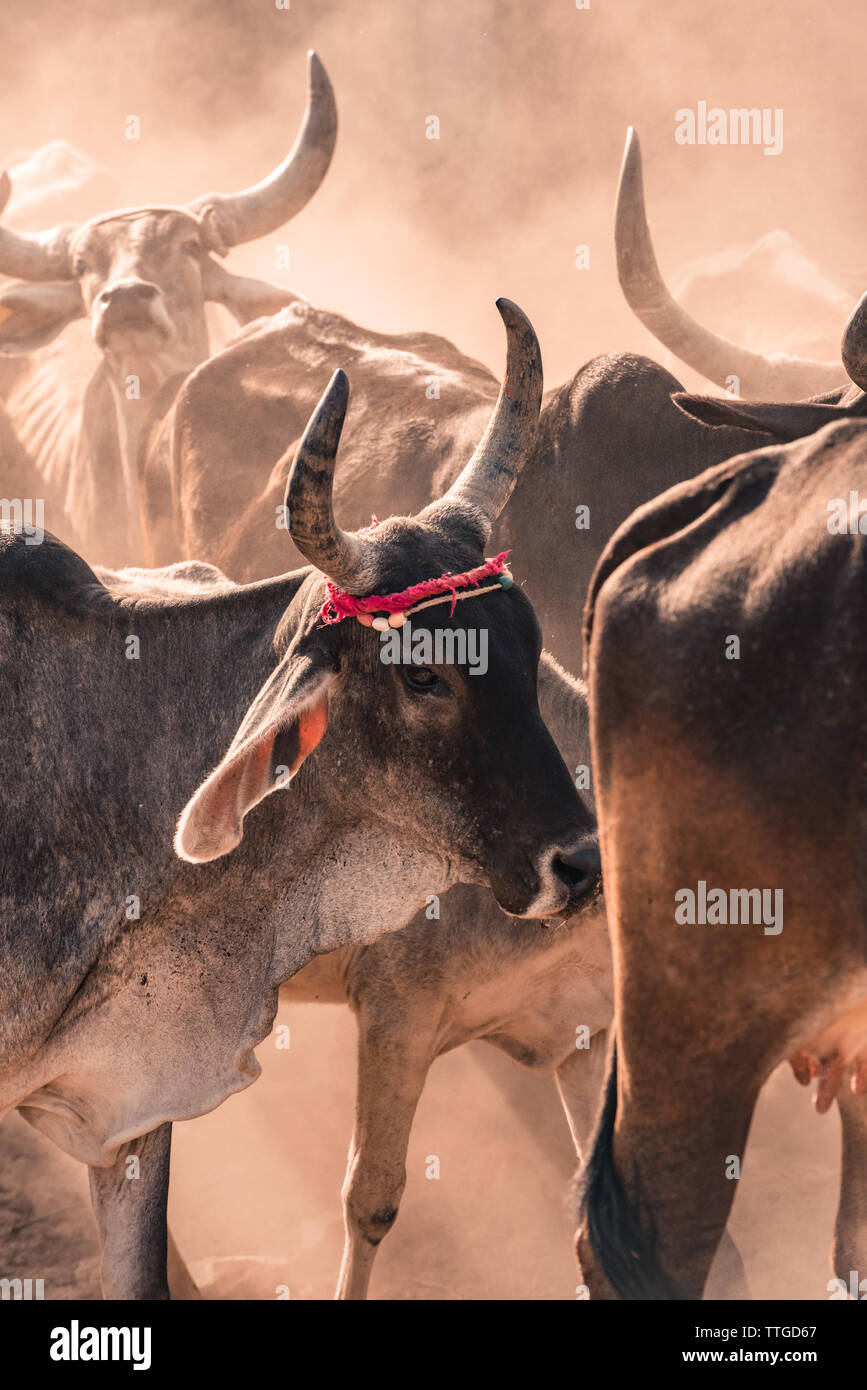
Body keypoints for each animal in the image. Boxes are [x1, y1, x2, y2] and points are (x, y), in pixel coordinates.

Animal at [0, 301, 600, 1299]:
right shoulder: (399, 1015)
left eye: (530, 639)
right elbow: (372, 1199)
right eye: (424, 676)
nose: (580, 864)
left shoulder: (133, 1103)